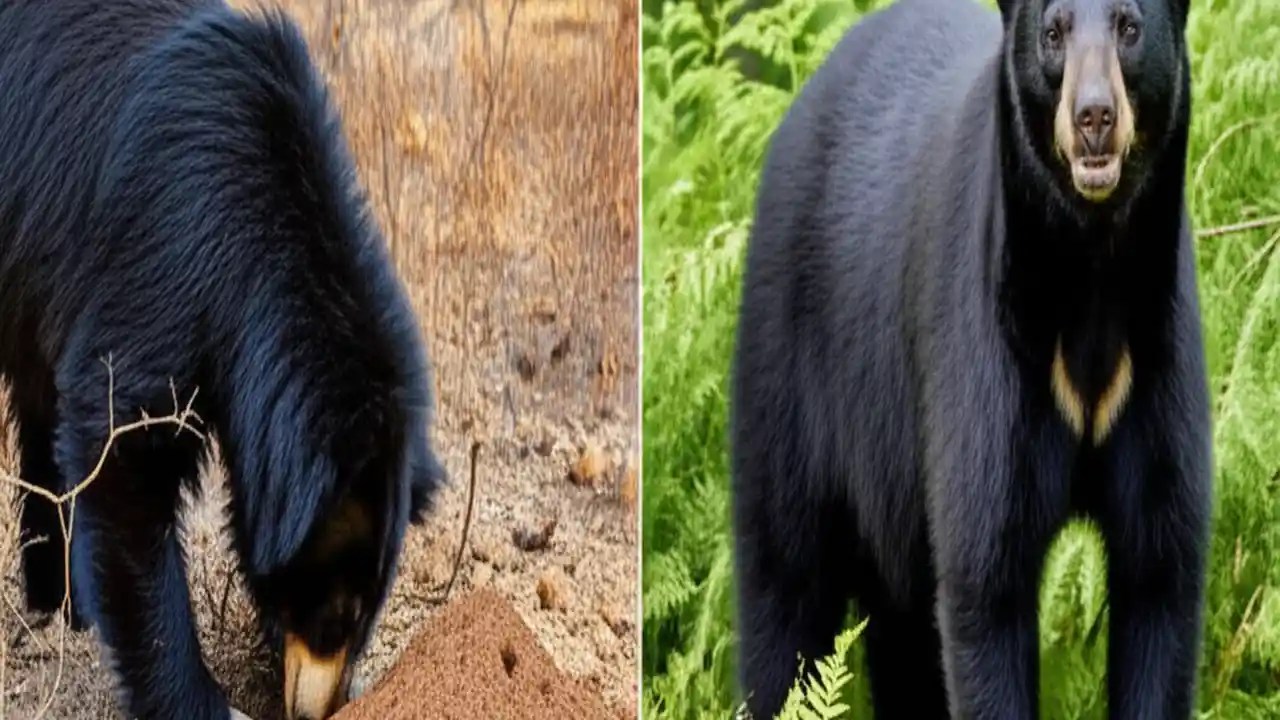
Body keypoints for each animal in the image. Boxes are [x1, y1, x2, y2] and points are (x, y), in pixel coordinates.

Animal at [0, 2, 445, 719]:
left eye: (363, 618)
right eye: (333, 615)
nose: (321, 710)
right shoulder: (166, 246)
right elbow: (118, 440)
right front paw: (206, 700)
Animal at [729, 0, 1208, 717]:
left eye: (1129, 27)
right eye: (1054, 31)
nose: (1094, 116)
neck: (1090, 275)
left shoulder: (1160, 352)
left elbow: (1160, 578)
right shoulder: (985, 357)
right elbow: (987, 579)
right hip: (787, 367)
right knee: (784, 583)